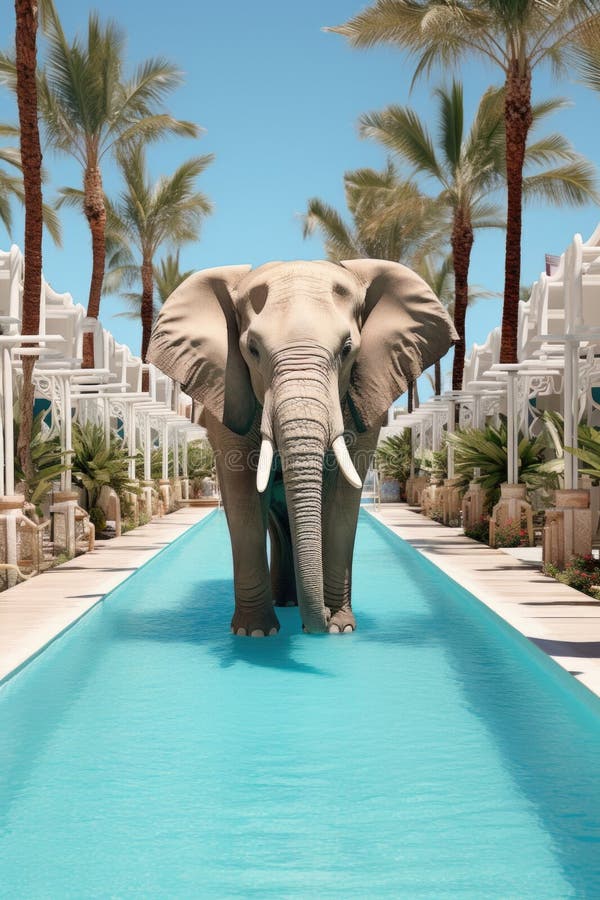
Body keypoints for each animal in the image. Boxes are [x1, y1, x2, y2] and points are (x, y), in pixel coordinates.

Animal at [147, 259, 456, 635]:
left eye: (347, 349)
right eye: (253, 350)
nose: (318, 620)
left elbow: (343, 493)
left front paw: (340, 627)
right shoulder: (227, 393)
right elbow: (243, 490)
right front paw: (255, 633)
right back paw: (285, 605)